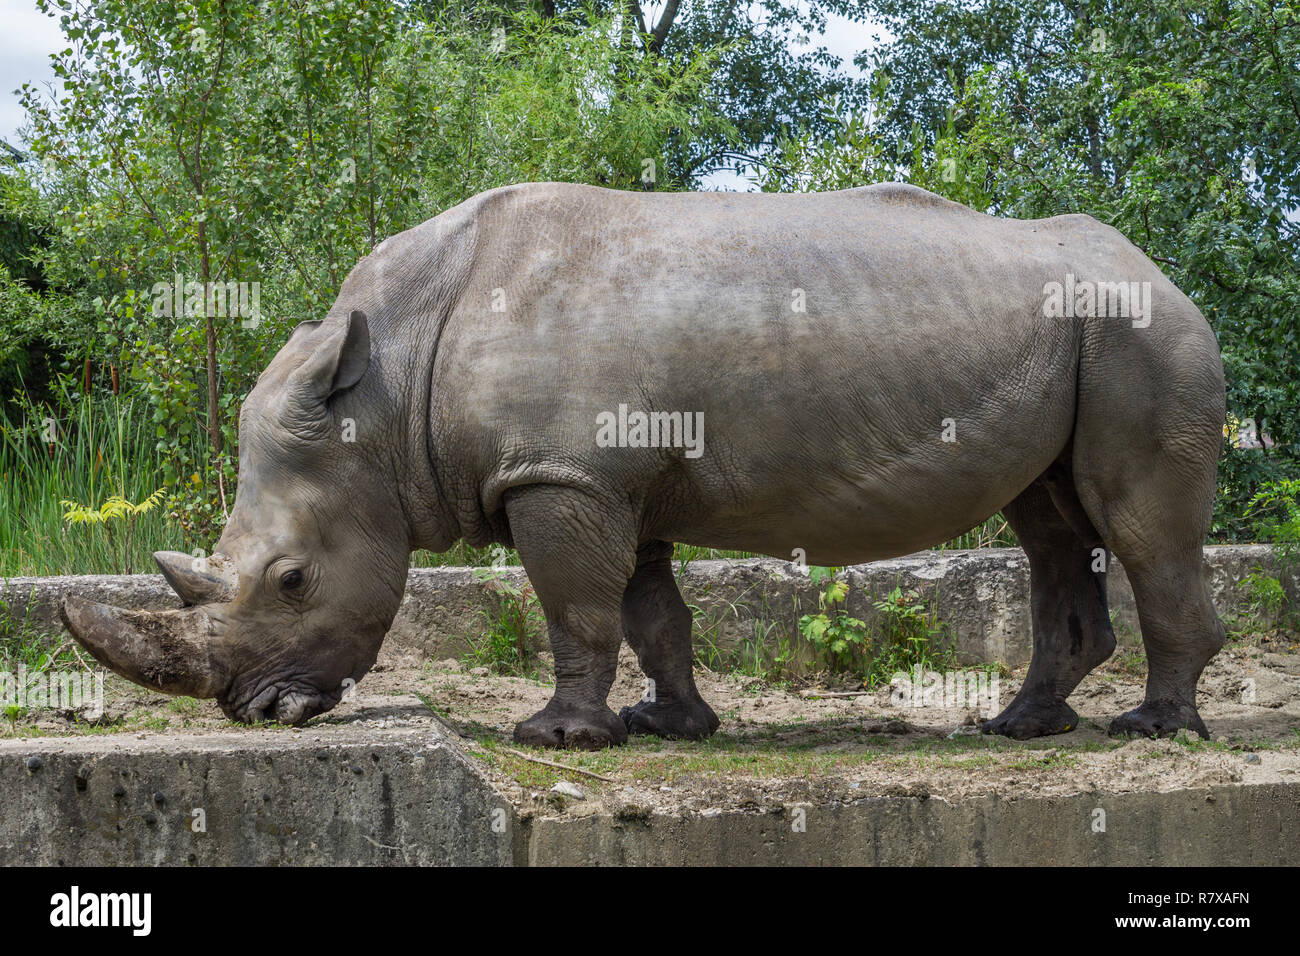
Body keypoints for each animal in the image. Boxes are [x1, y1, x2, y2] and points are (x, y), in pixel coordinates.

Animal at [62, 182, 1228, 748]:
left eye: (293, 579)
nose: (254, 713)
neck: (387, 389)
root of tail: (1159, 267)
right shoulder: (608, 478)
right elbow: (647, 610)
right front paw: (666, 725)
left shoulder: (560, 476)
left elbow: (576, 608)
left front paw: (561, 736)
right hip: (1086, 330)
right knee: (1050, 522)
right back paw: (1024, 724)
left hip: (1147, 331)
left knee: (1134, 523)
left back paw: (1152, 730)